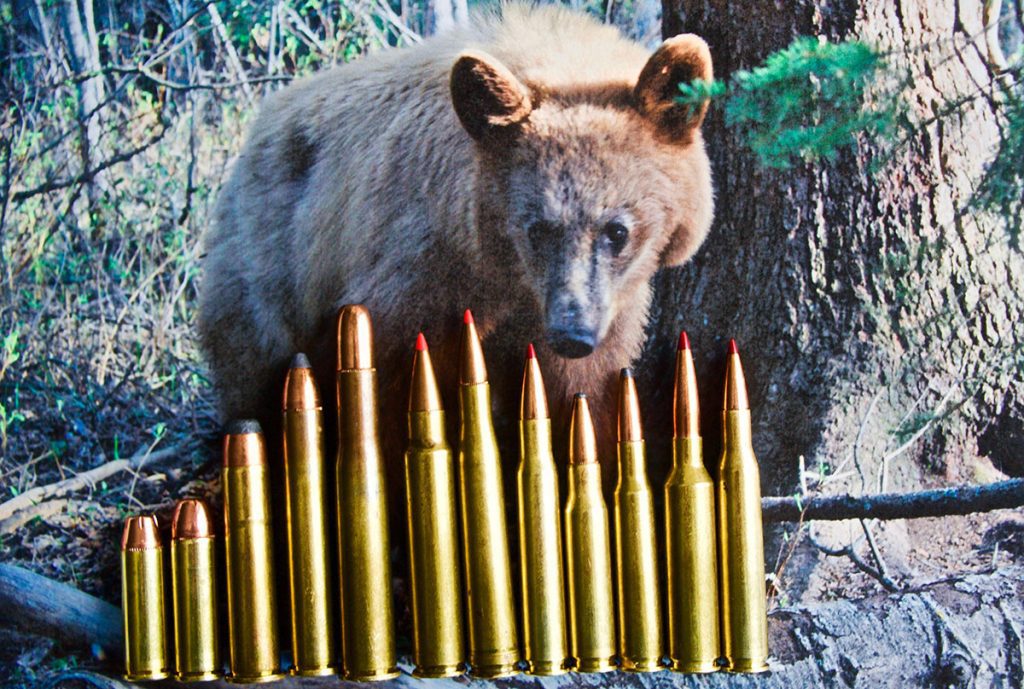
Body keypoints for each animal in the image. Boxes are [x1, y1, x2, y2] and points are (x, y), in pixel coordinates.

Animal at [198, 4, 714, 461]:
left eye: (617, 230)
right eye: (538, 228)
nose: (572, 332)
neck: (506, 276)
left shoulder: (606, 310)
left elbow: (584, 394)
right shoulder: (421, 267)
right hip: (267, 269)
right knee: (256, 371)